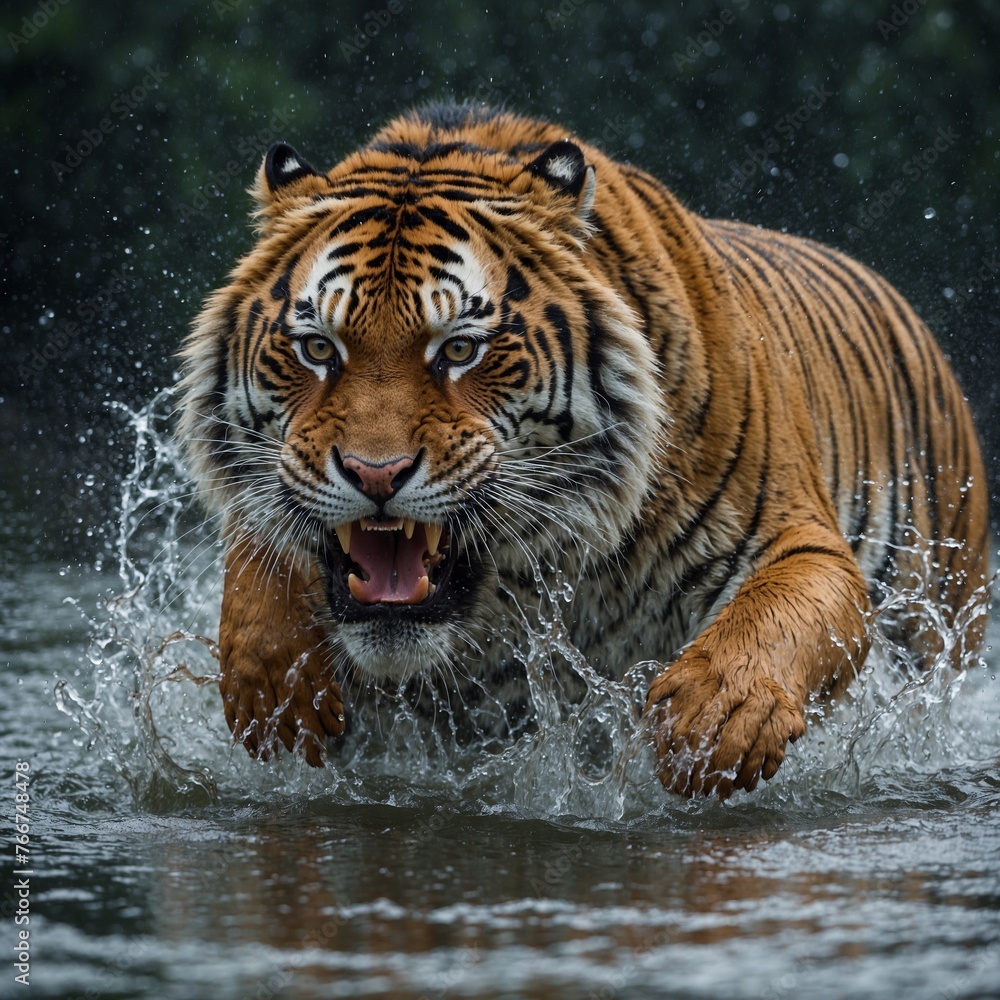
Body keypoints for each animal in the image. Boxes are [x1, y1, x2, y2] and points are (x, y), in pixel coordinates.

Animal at [178, 101, 990, 799]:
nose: (375, 474)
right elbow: (259, 547)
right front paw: (276, 687)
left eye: (460, 349)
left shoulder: (798, 538)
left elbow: (774, 619)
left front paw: (713, 722)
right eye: (318, 348)